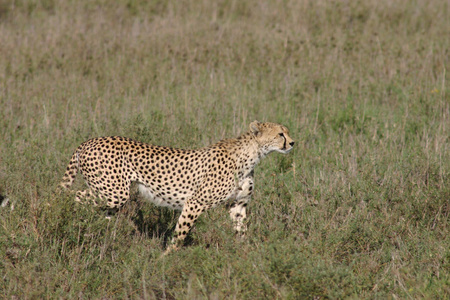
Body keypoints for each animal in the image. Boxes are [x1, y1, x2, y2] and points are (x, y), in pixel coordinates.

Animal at [59, 120, 296, 252]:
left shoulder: (237, 205)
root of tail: (88, 141)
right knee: (73, 197)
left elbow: (241, 230)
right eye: (280, 134)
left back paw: (99, 235)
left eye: (286, 132)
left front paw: (246, 253)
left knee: (100, 213)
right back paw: (71, 221)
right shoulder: (195, 202)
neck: (252, 155)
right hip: (113, 192)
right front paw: (166, 258)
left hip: (111, 197)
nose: (293, 142)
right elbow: (180, 233)